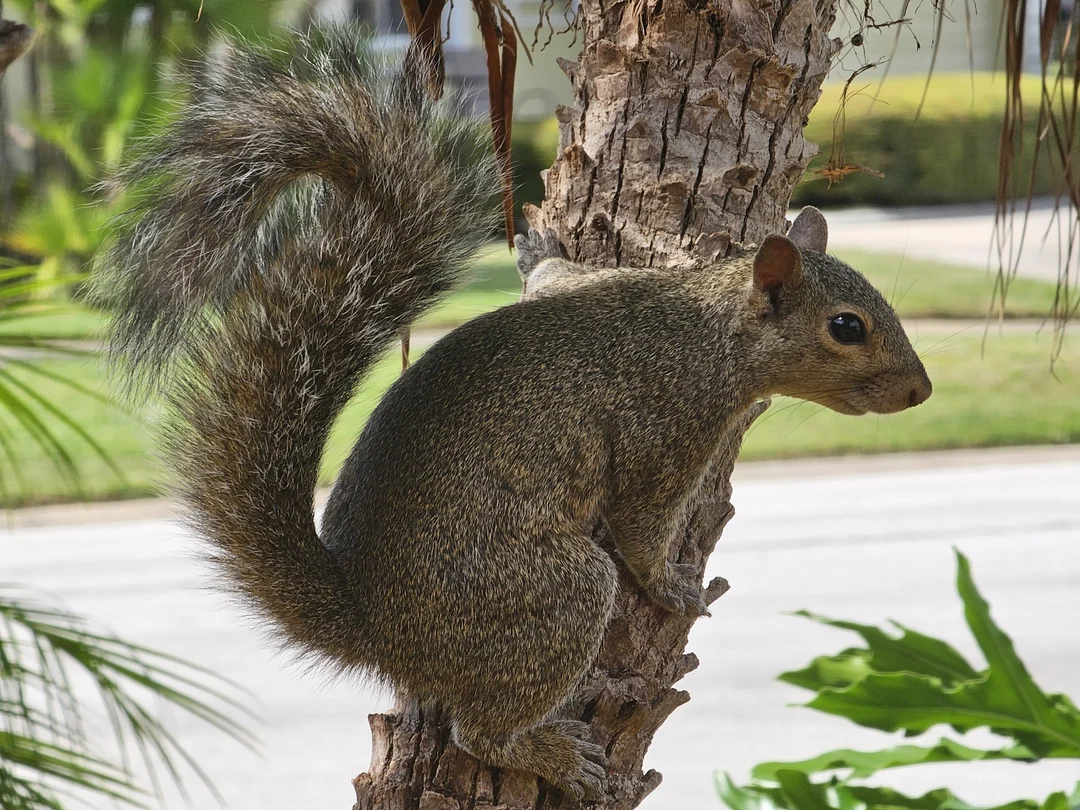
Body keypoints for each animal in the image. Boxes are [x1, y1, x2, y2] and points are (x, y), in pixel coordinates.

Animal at [99, 27, 932, 804]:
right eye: (847, 327)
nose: (921, 392)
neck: (710, 321)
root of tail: (378, 630)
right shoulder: (669, 422)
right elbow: (643, 522)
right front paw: (671, 584)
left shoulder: (607, 288)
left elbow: (558, 276)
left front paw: (537, 249)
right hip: (547, 597)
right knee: (483, 730)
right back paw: (552, 755)